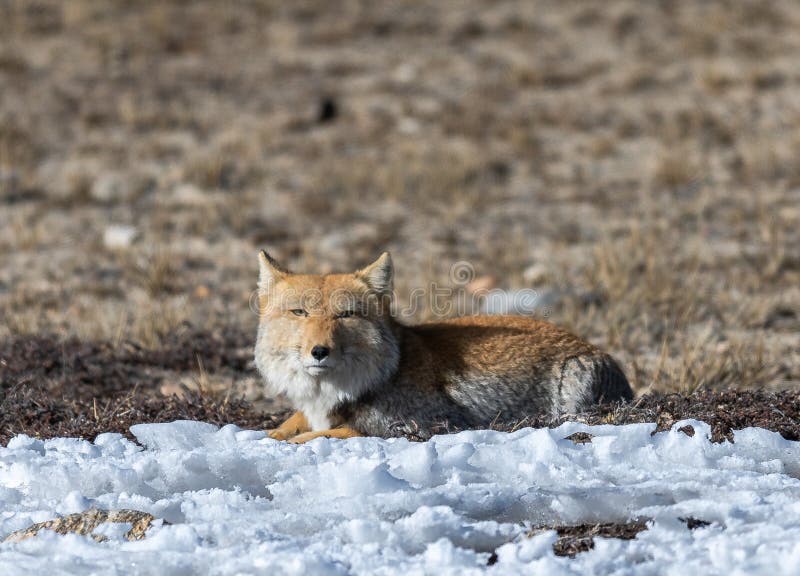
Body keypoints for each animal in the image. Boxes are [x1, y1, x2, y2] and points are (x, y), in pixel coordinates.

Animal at [254, 251, 632, 443]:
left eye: (346, 314)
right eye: (299, 312)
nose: (319, 351)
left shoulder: (427, 425)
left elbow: (318, 435)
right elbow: (289, 426)